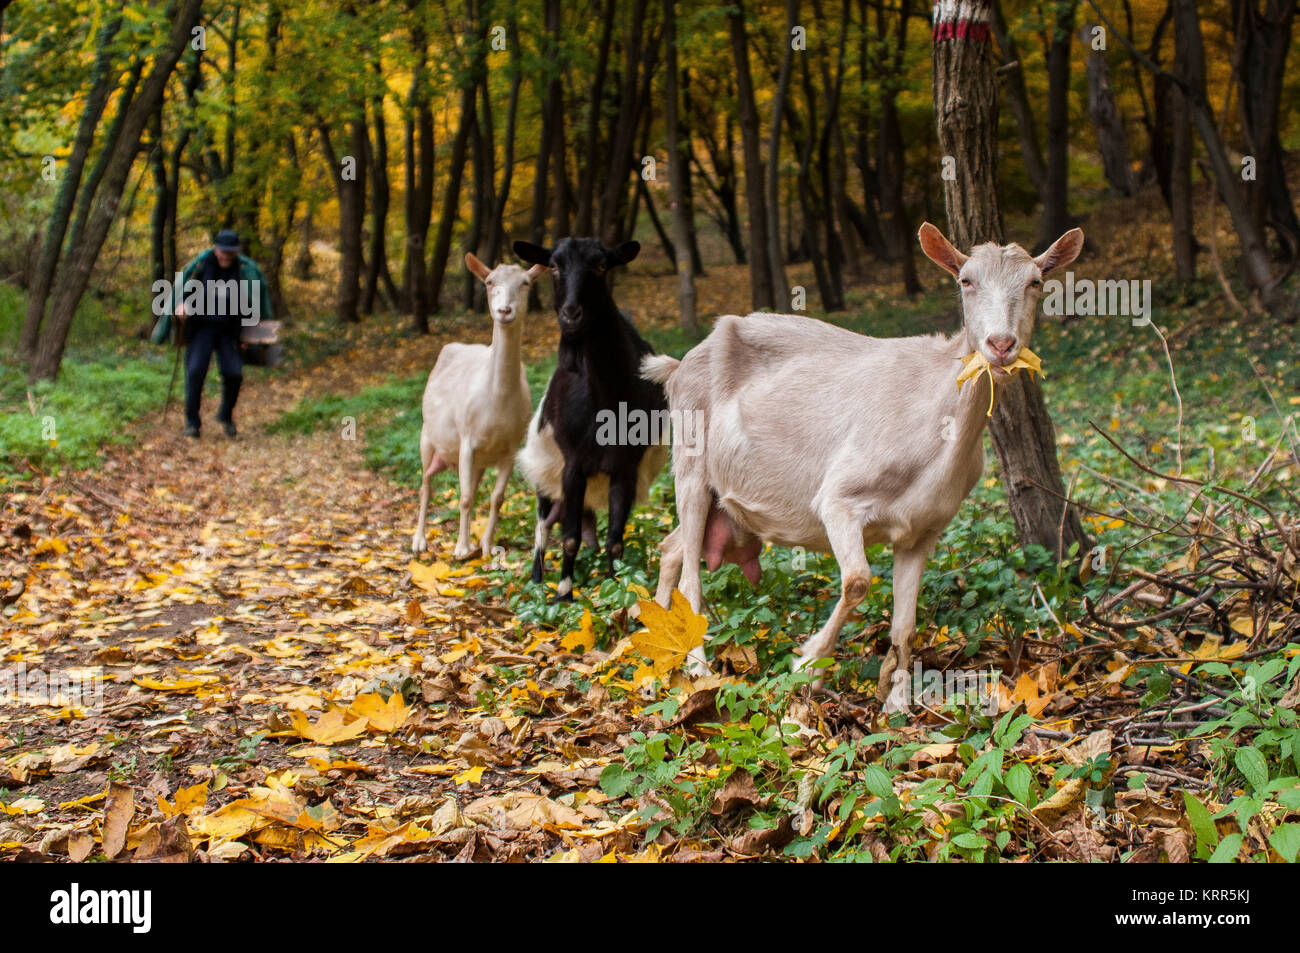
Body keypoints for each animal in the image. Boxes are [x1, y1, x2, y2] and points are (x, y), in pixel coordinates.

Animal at [411, 253, 543, 559]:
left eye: (526, 283)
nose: (504, 311)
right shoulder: (467, 440)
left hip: (478, 460)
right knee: (426, 485)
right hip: (427, 437)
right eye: (489, 282)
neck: (496, 402)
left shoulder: (511, 448)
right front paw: (460, 549)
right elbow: (465, 497)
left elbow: (496, 498)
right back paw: (419, 541)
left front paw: (486, 546)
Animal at [513, 237, 670, 599]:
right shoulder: (572, 464)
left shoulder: (625, 466)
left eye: (601, 266)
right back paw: (537, 580)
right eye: (553, 266)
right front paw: (563, 594)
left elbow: (615, 540)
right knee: (543, 525)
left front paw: (617, 590)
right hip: (545, 471)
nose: (571, 315)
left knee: (584, 528)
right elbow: (567, 538)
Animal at [643, 222, 1083, 711]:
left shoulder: (923, 529)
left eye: (1036, 282)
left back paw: (657, 666)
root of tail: (679, 364)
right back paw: (699, 671)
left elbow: (905, 623)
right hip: (689, 464)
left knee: (671, 549)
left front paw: (897, 704)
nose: (1001, 345)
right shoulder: (839, 499)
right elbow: (857, 581)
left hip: (718, 498)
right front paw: (807, 667)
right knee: (690, 577)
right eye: (965, 280)